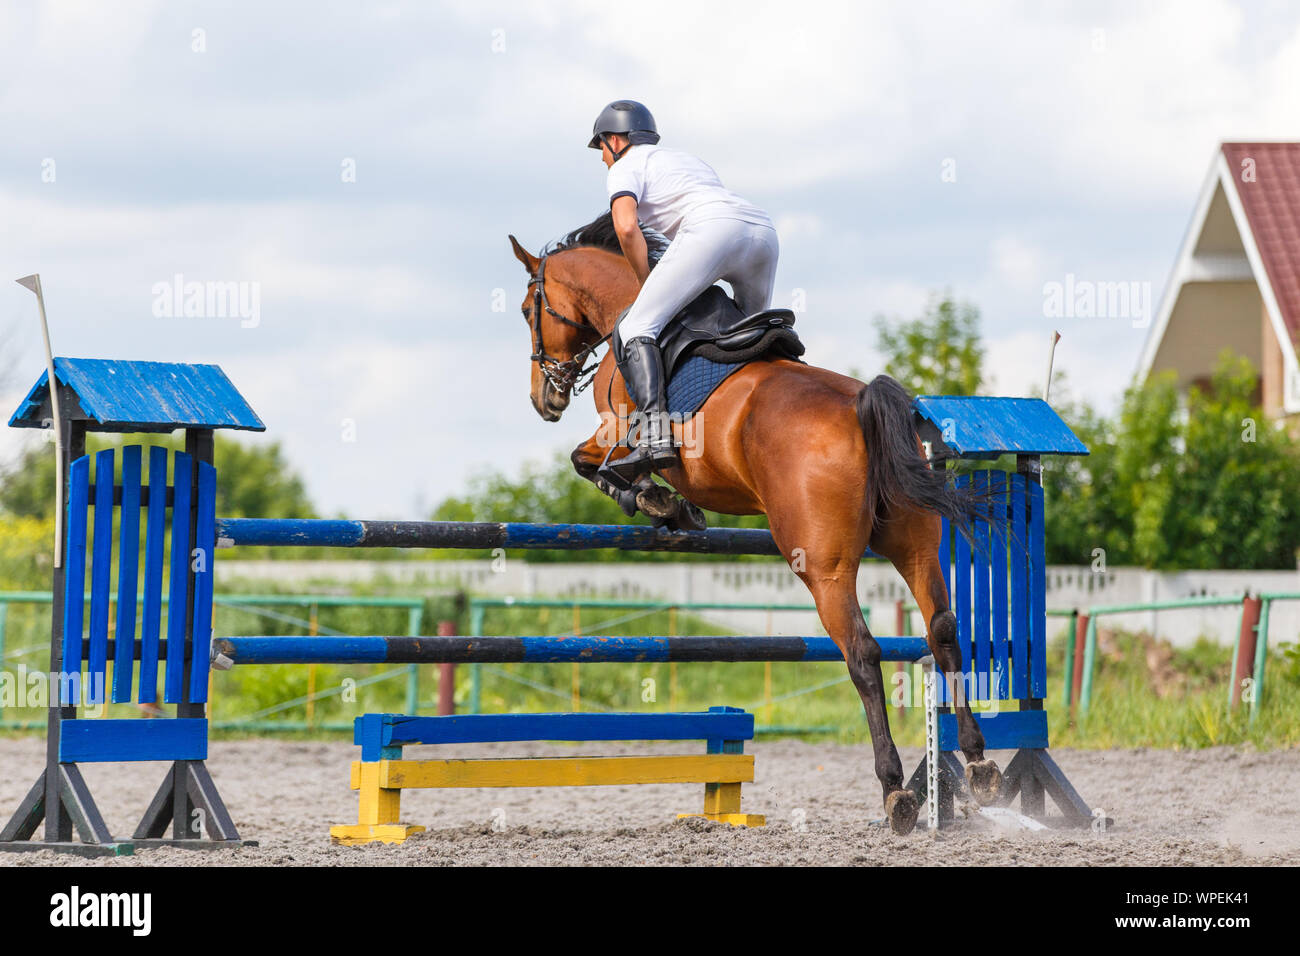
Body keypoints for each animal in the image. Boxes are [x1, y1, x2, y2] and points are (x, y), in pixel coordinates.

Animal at [507, 213, 1001, 834]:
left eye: (529, 310)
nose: (542, 398)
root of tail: (861, 403)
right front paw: (666, 504)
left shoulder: (613, 428)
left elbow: (589, 461)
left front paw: (655, 500)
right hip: (915, 547)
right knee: (943, 631)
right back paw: (979, 763)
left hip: (823, 567)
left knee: (863, 655)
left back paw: (896, 792)